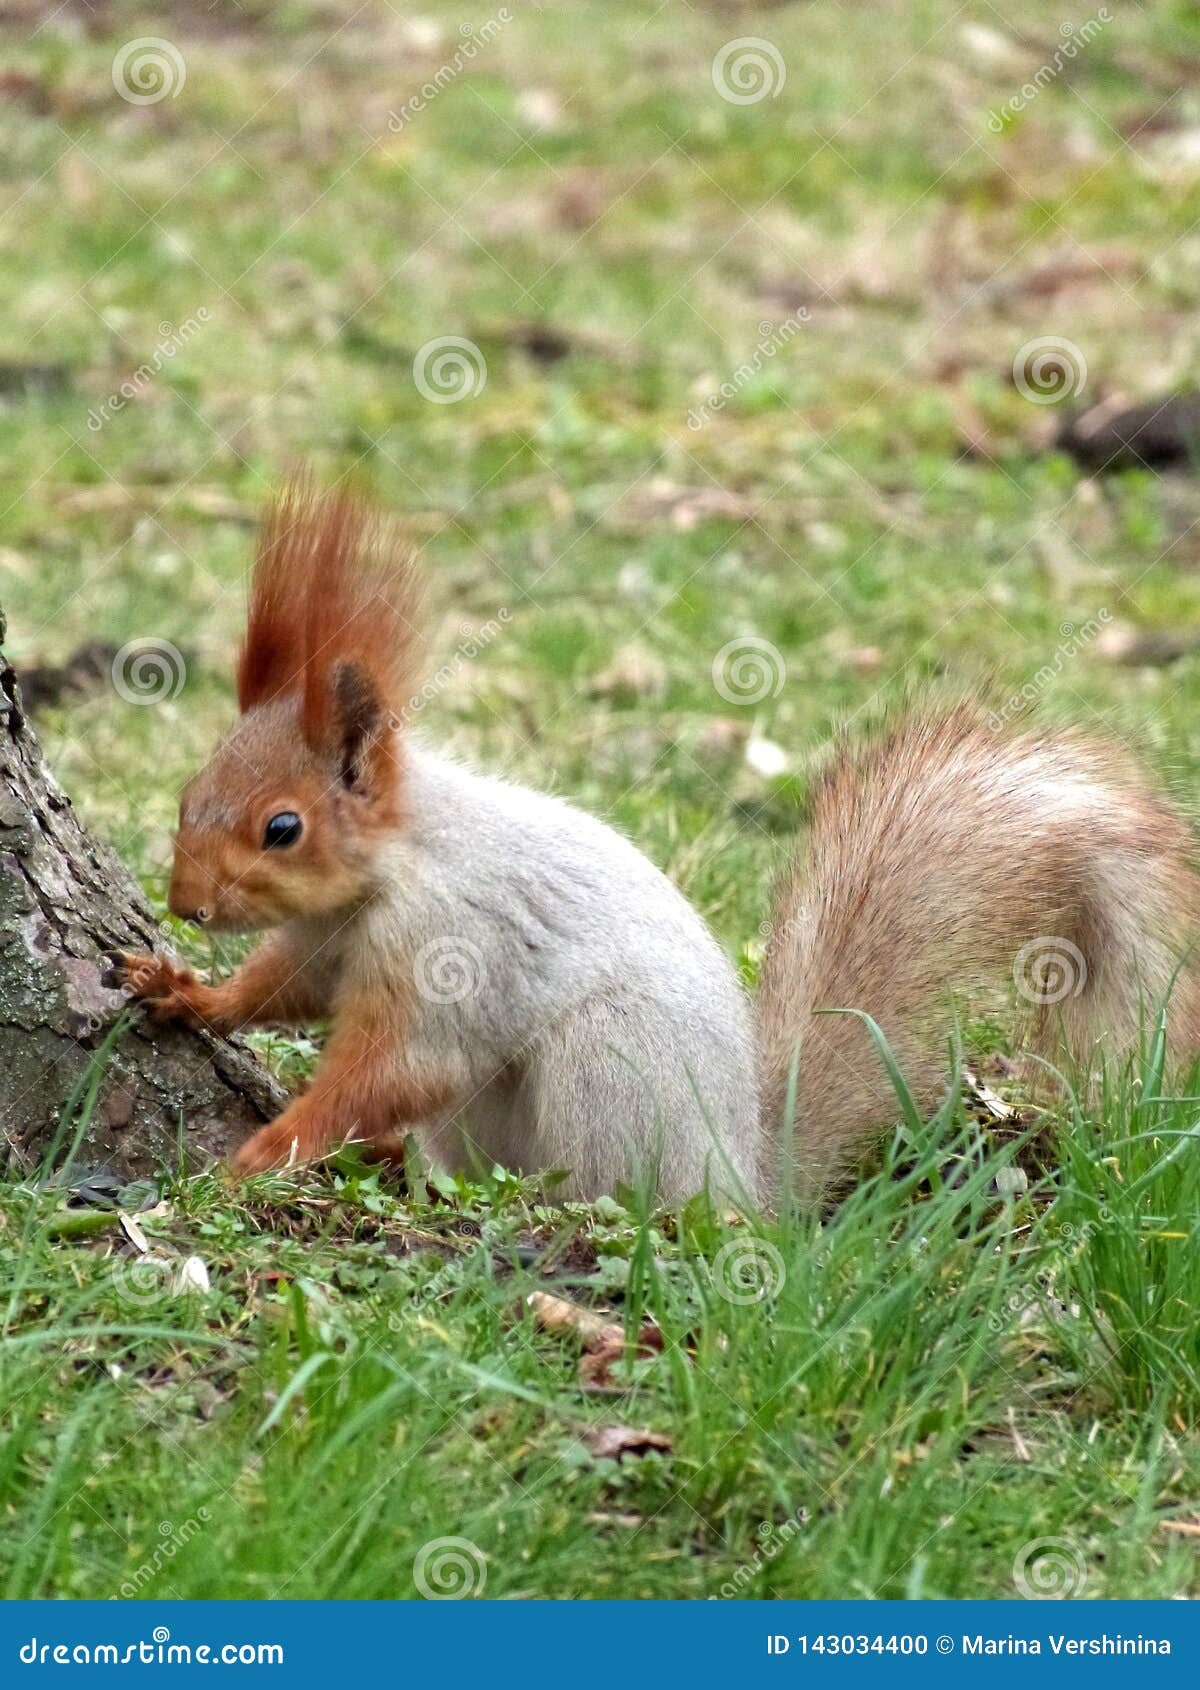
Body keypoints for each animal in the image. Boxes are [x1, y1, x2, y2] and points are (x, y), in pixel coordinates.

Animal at [105, 479, 1200, 1201]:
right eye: (192, 791)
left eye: (282, 827)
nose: (186, 904)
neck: (394, 867)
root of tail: (740, 1178)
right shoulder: (326, 939)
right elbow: (278, 989)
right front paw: (187, 990)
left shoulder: (453, 948)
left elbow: (394, 1067)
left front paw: (277, 1142)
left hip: (609, 1066)